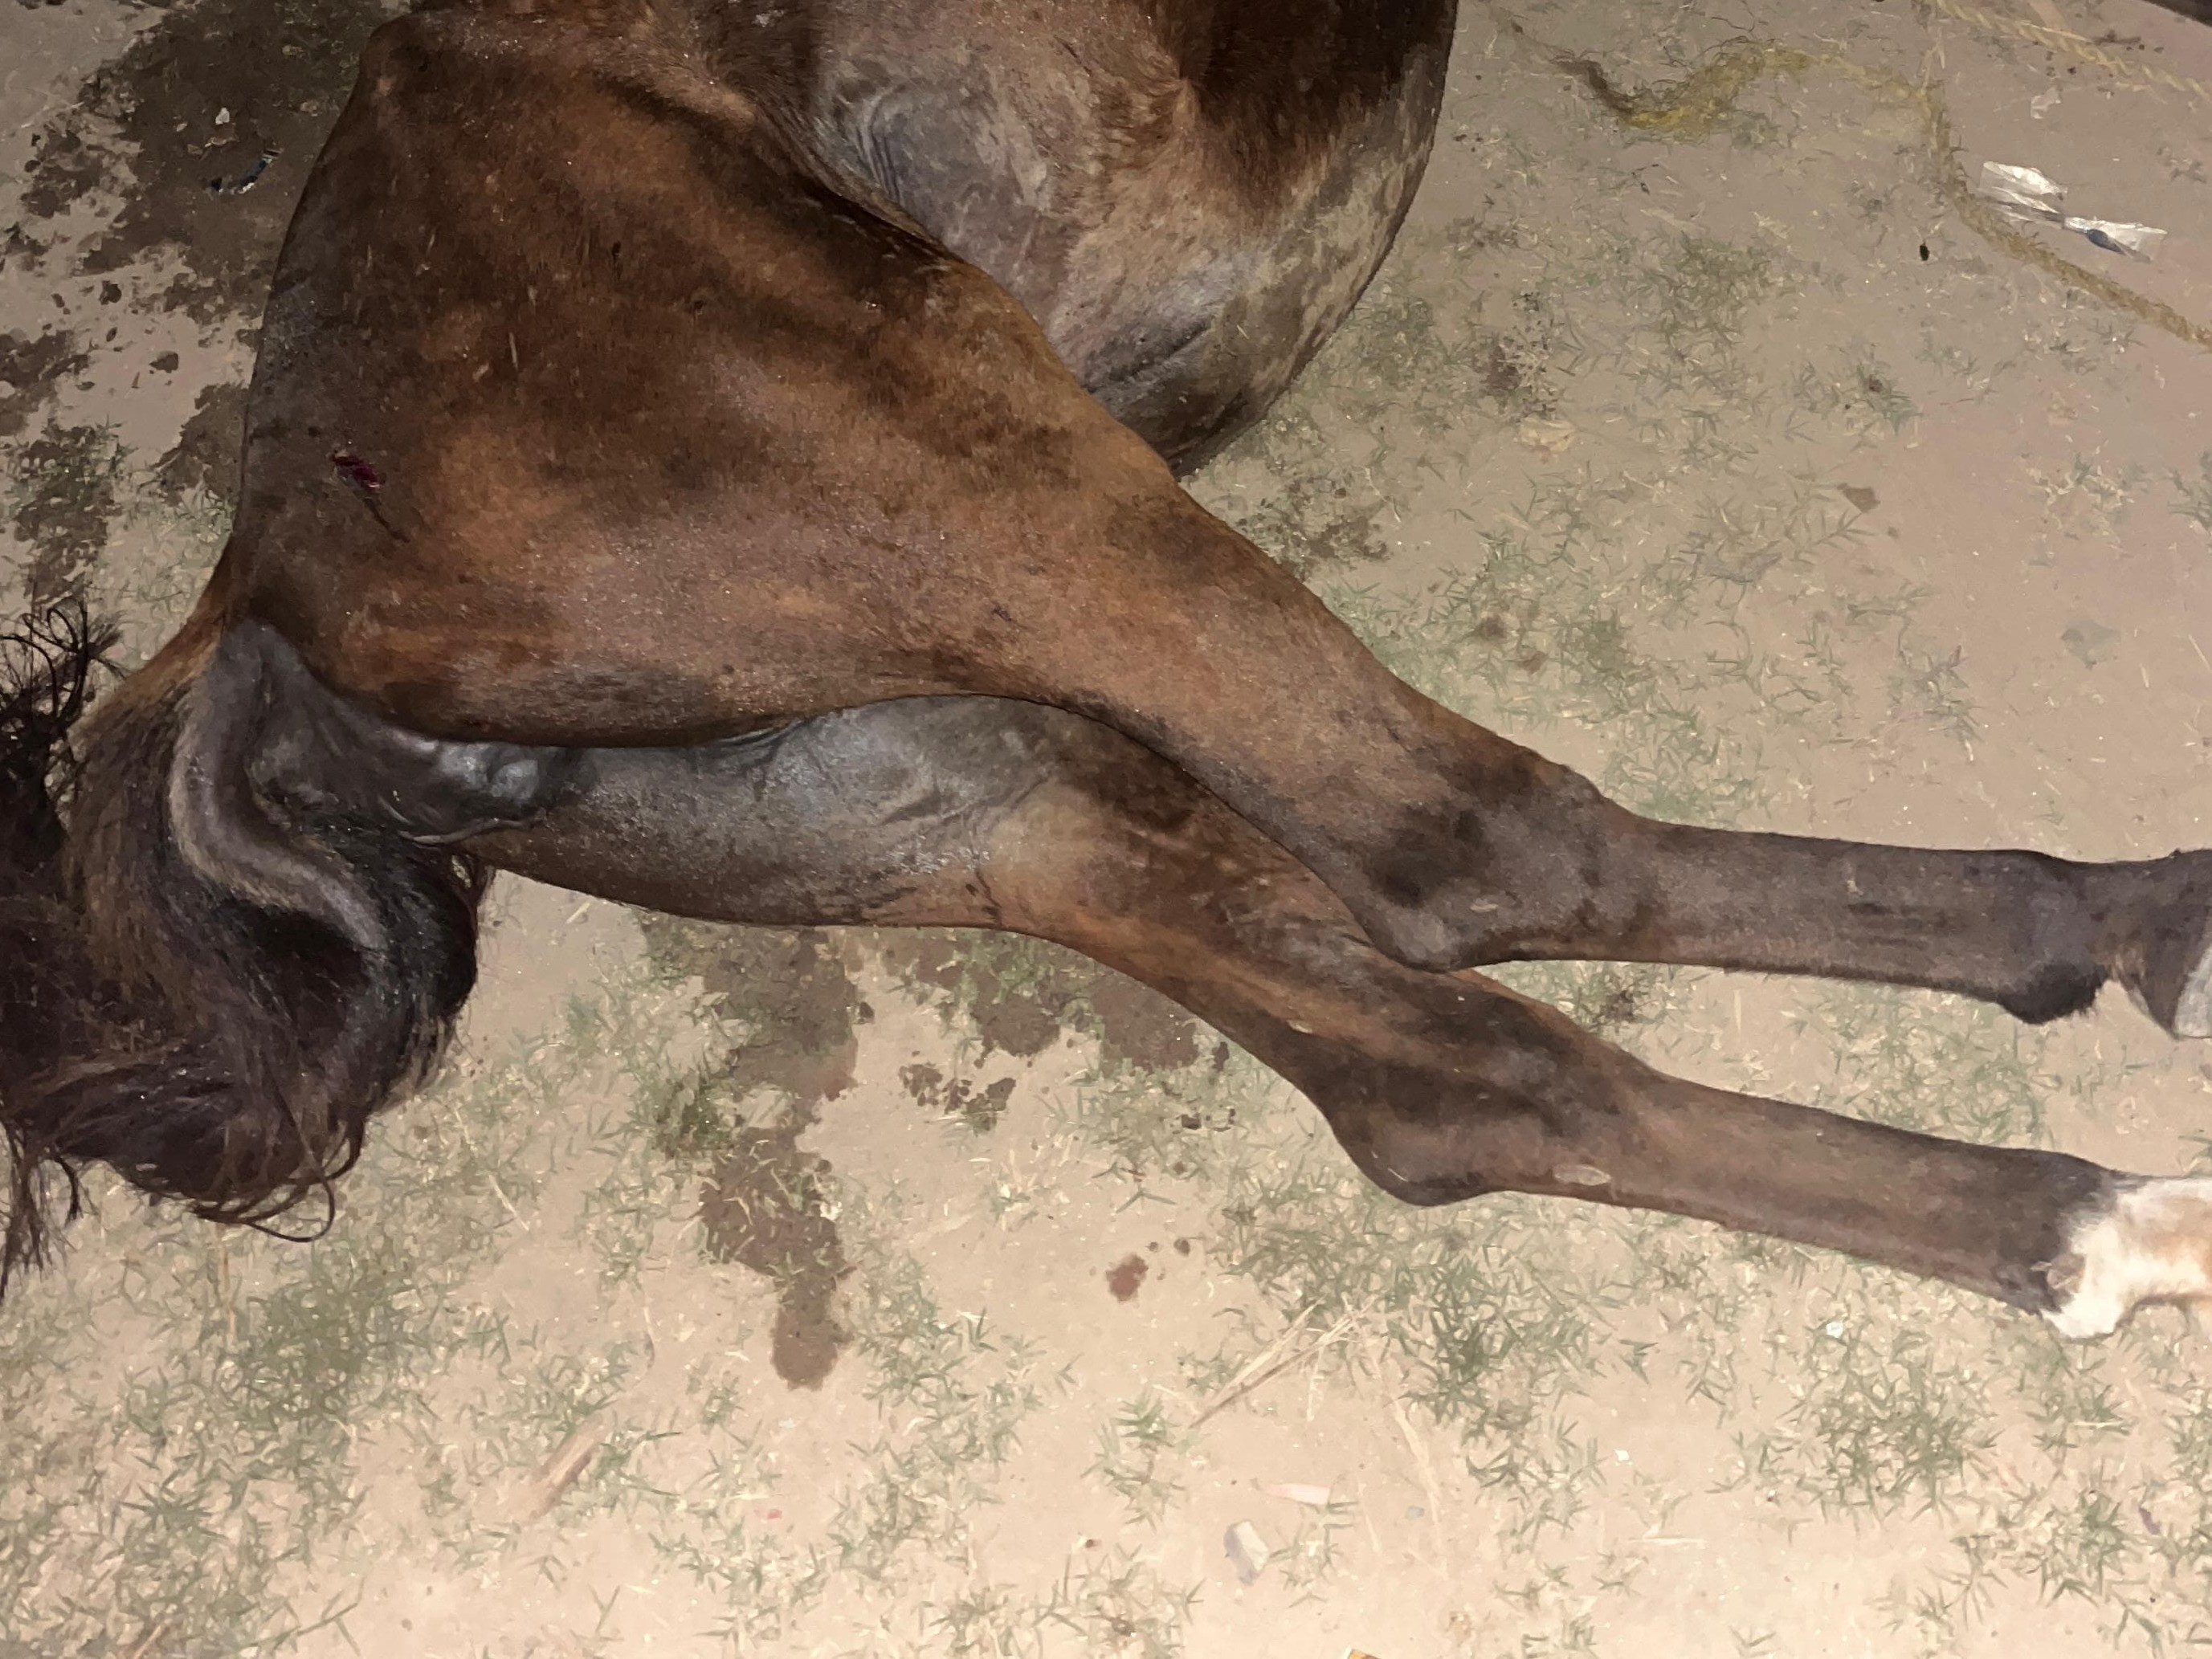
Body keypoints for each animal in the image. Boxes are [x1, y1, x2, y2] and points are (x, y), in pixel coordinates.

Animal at [2, 0, 2209, 1342]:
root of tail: (254, 597)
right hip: (970, 460)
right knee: (1472, 855)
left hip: (951, 776)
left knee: (1450, 1078)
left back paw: (2110, 1125)